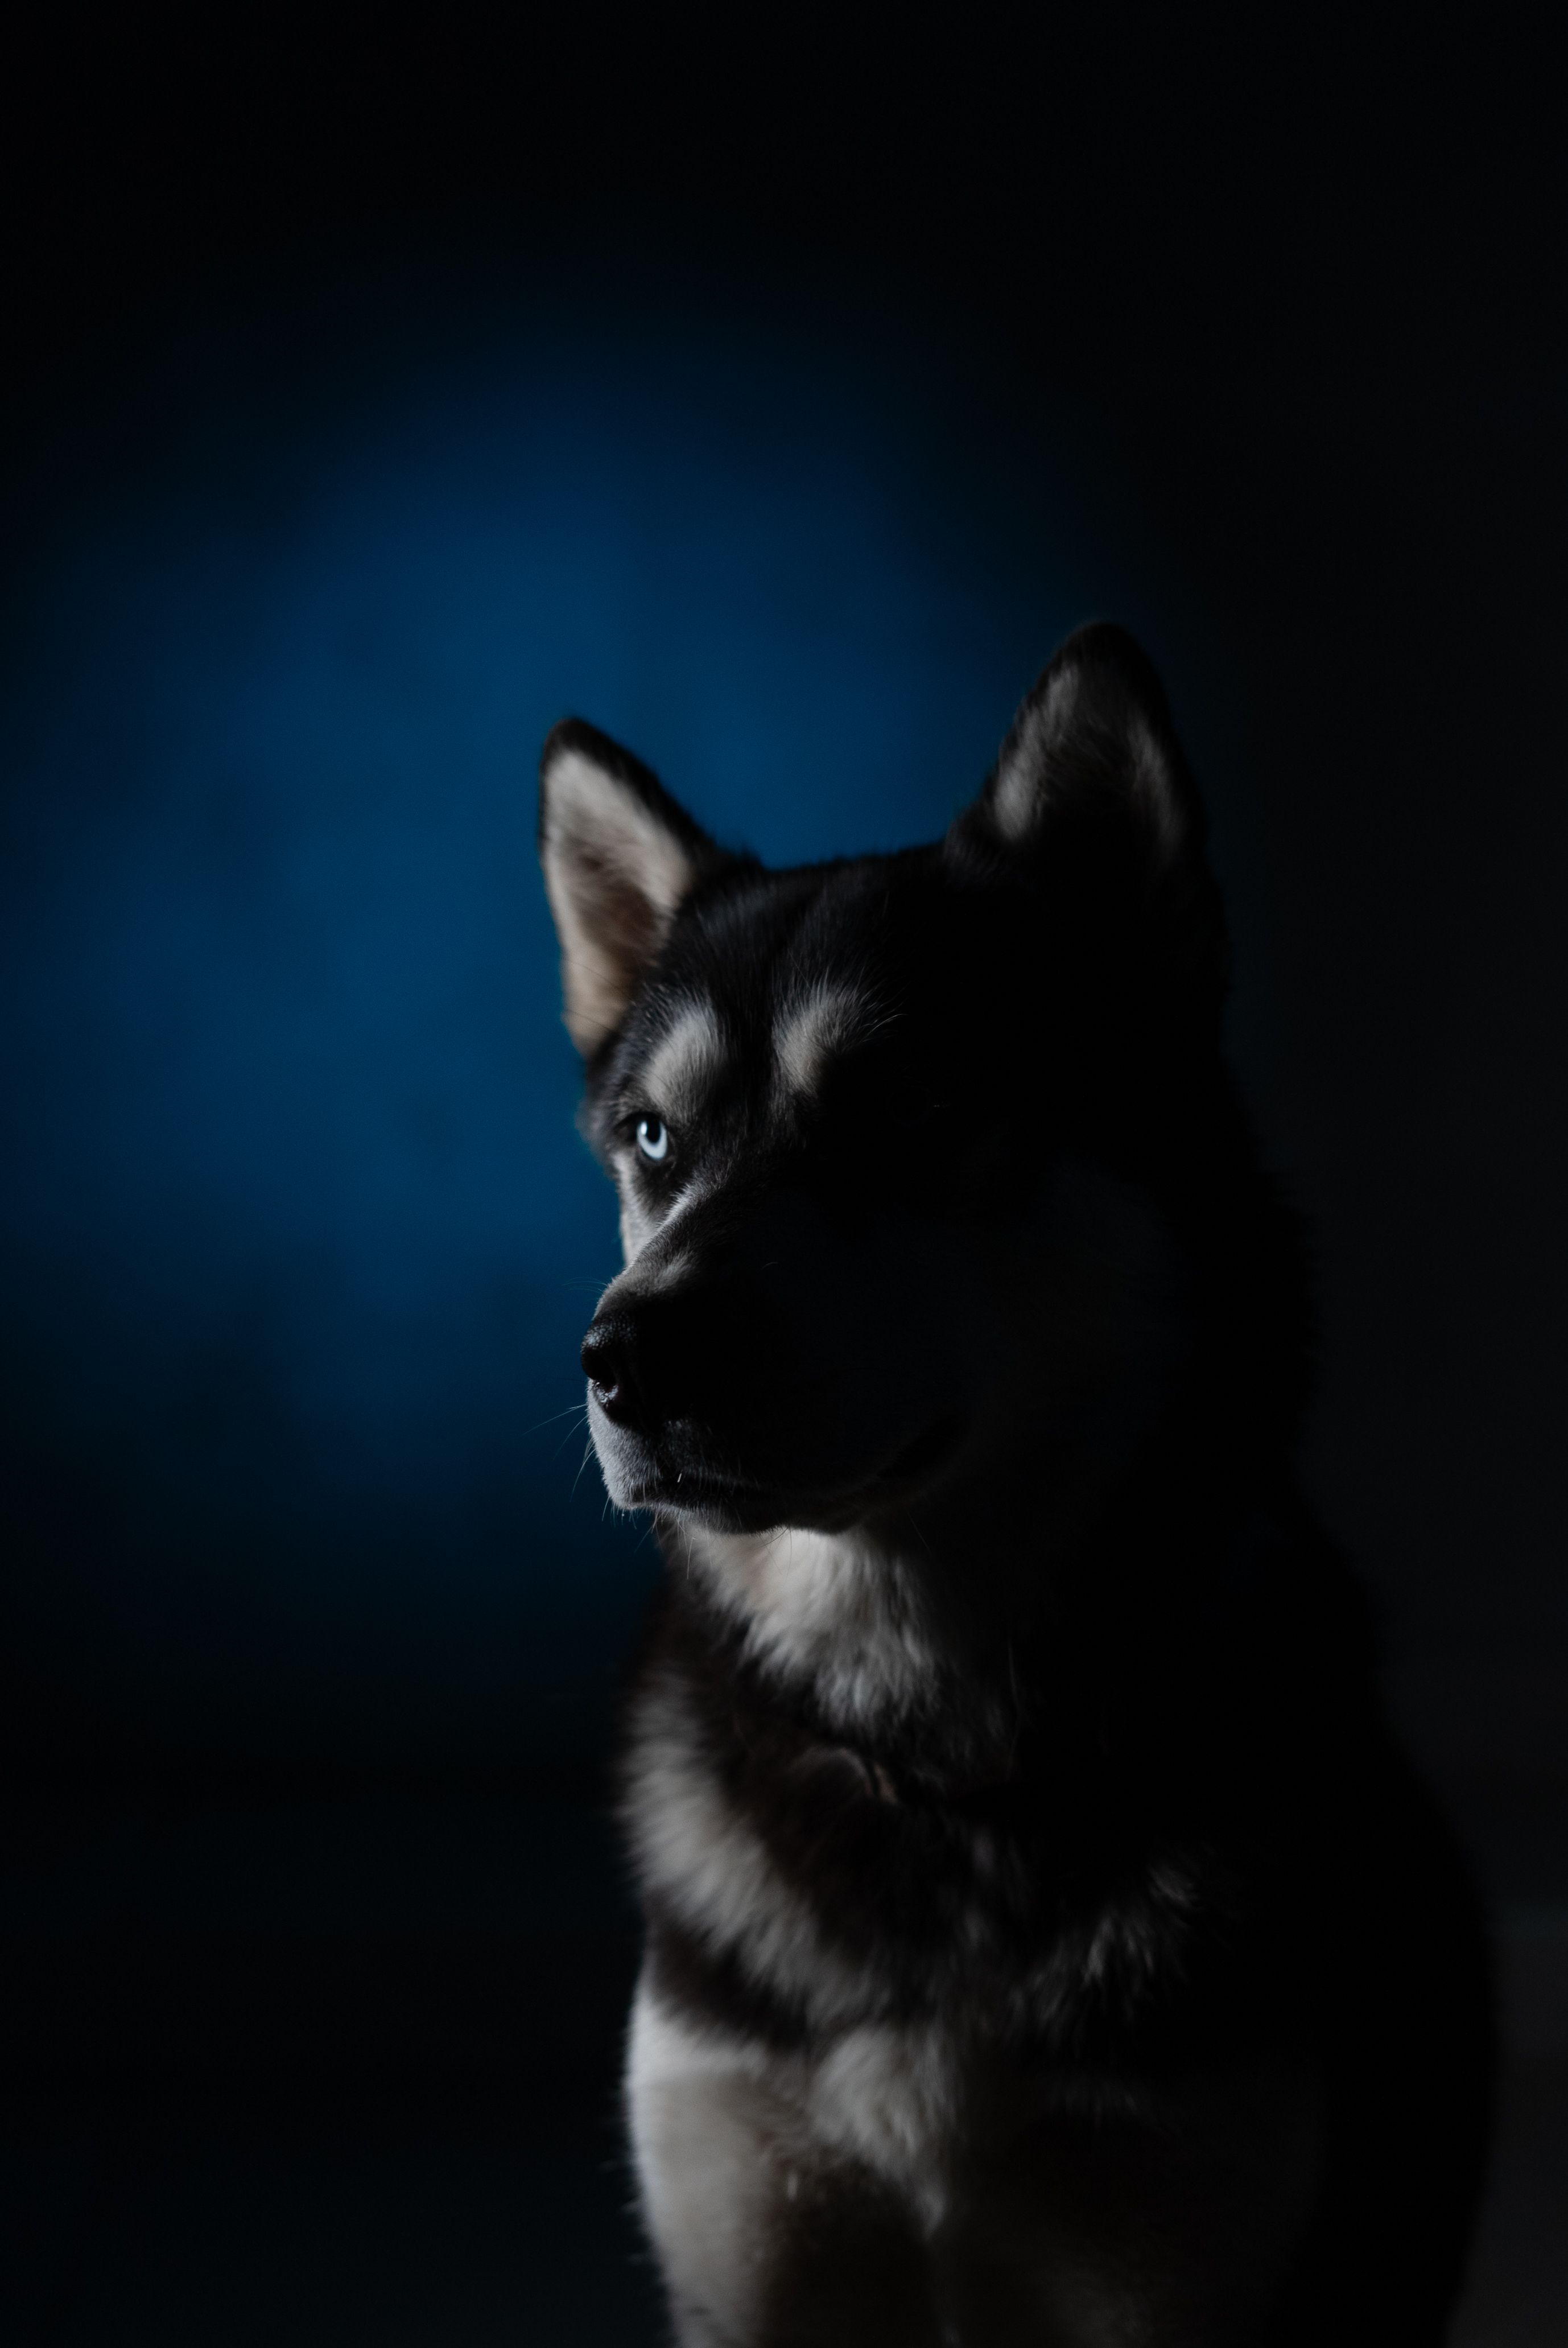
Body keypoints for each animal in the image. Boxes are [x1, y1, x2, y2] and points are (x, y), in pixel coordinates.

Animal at [537, 625, 1493, 2345]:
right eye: (650, 1138)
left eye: (906, 1104)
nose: (624, 1355)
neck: (928, 1741)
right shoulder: (751, 2257)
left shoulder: (1176, 2262)